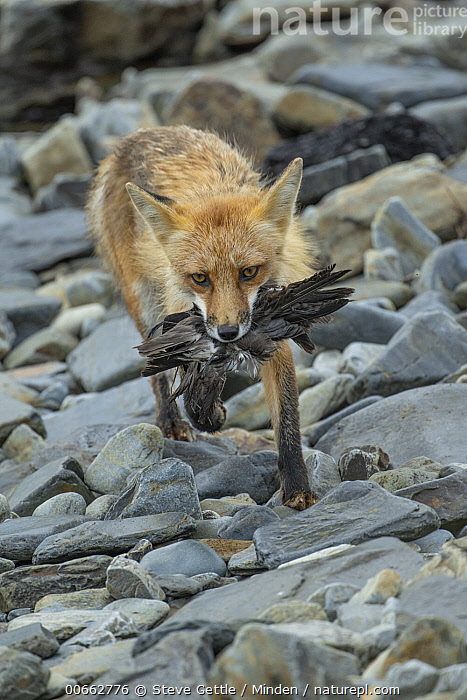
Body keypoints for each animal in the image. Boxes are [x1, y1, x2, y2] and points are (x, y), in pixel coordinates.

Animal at [87, 125, 316, 510]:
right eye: (200, 278)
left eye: (249, 272)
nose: (228, 332)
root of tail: (139, 136)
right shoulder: (181, 326)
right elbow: (189, 390)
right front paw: (208, 413)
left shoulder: (272, 329)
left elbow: (286, 416)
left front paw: (297, 484)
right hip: (145, 302)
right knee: (157, 374)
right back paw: (171, 421)